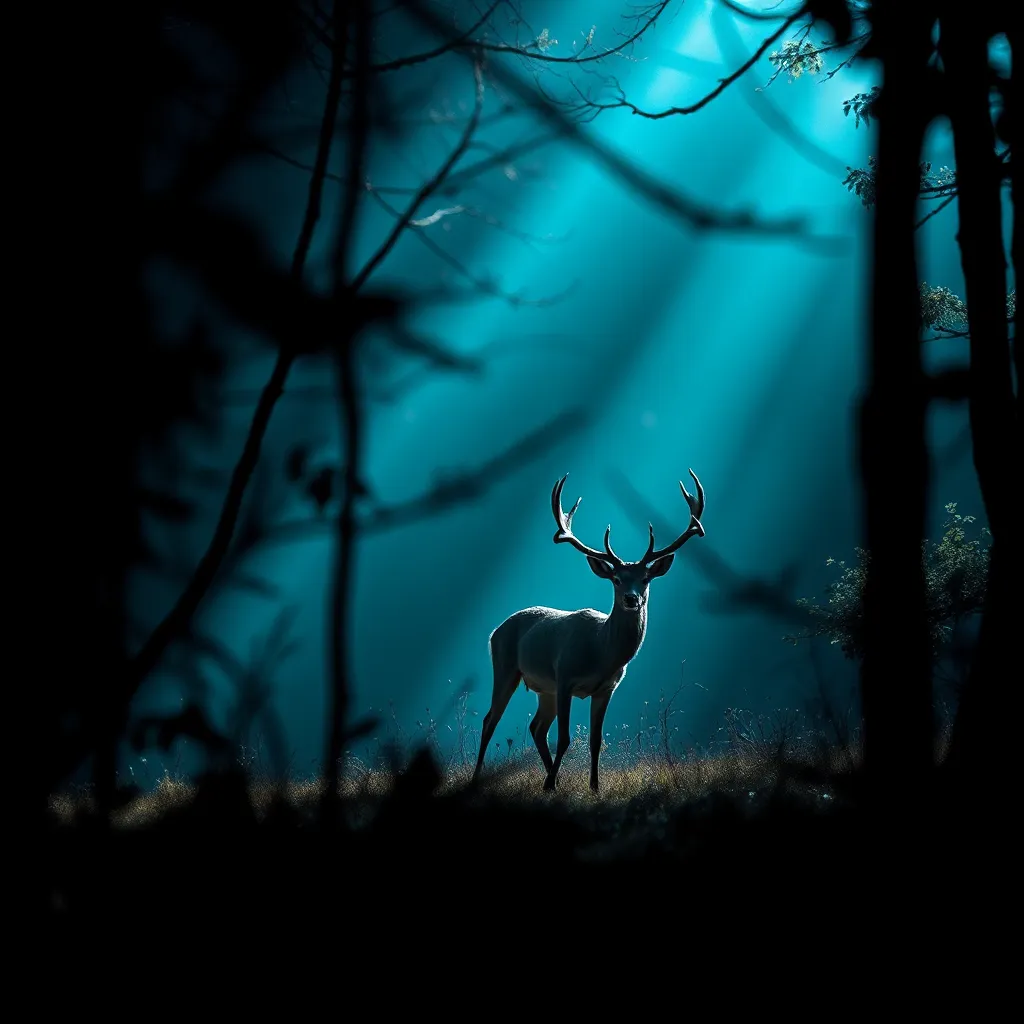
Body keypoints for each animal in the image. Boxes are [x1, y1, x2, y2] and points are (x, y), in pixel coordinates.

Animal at [473, 469, 706, 793]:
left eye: (645, 578)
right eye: (617, 579)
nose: (632, 599)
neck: (600, 652)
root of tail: (495, 629)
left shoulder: (607, 688)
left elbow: (596, 741)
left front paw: (593, 787)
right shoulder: (565, 677)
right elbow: (565, 738)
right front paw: (550, 785)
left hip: (543, 688)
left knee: (536, 727)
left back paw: (553, 778)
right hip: (506, 665)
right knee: (490, 719)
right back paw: (479, 777)